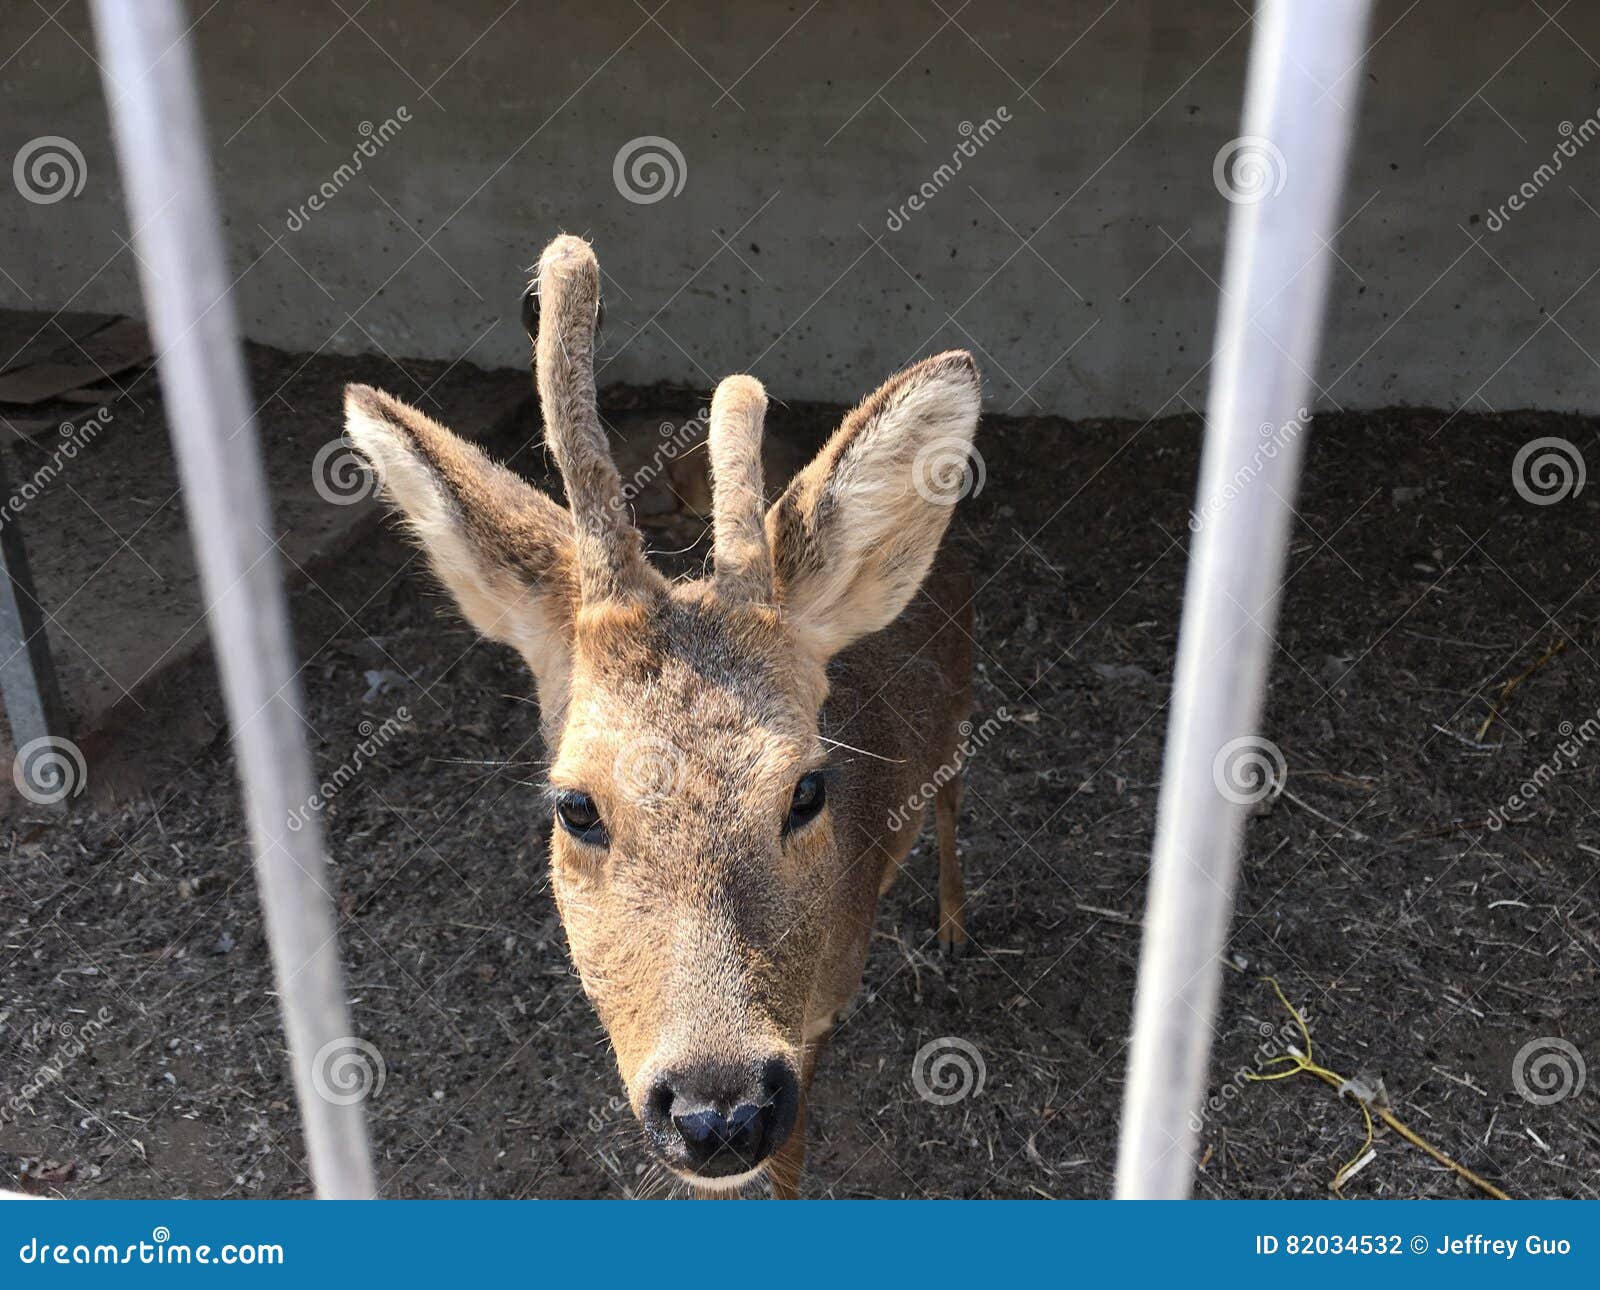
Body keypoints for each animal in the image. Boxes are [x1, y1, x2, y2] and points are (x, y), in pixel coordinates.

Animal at [343, 234, 981, 1198]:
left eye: (807, 790)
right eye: (575, 807)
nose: (718, 1111)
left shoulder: (820, 1016)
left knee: (950, 795)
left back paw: (951, 927)